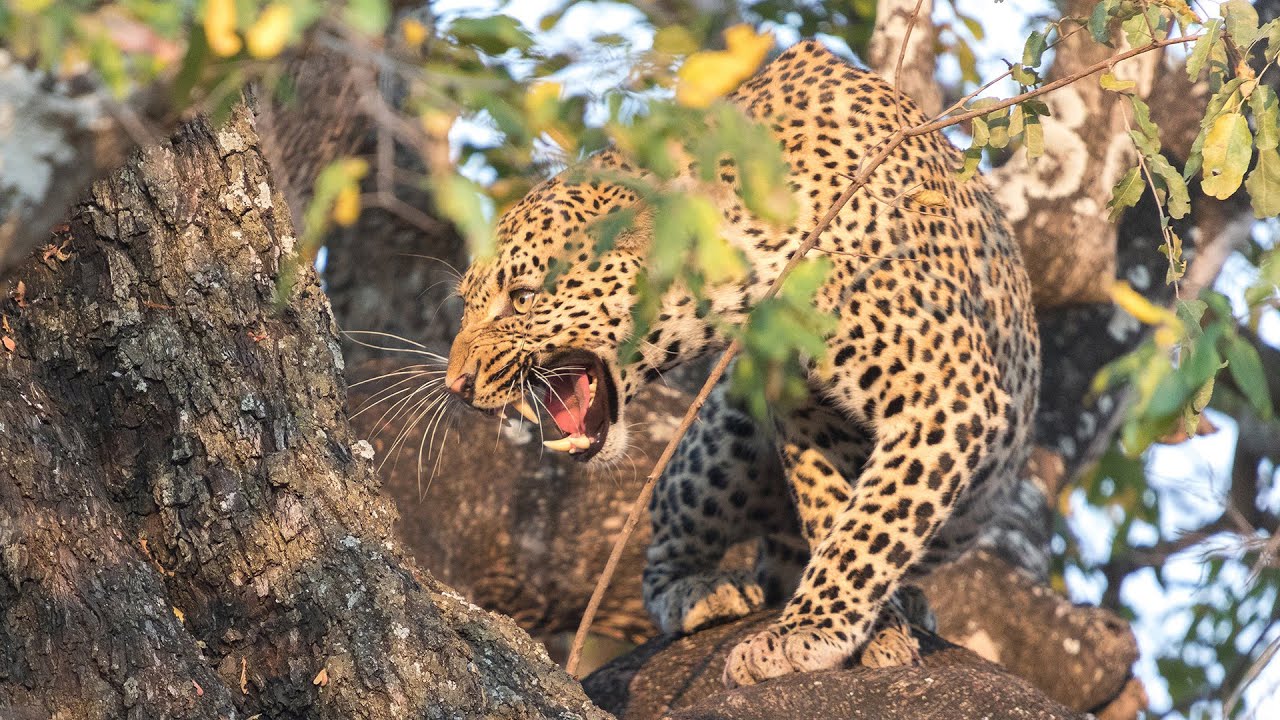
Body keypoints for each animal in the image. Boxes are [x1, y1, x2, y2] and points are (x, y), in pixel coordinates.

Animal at [443, 40, 1040, 687]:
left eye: (523, 297)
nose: (457, 385)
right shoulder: (806, 411)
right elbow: (833, 509)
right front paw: (859, 627)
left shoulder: (946, 389)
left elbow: (873, 523)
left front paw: (809, 629)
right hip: (725, 437)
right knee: (668, 553)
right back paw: (705, 590)